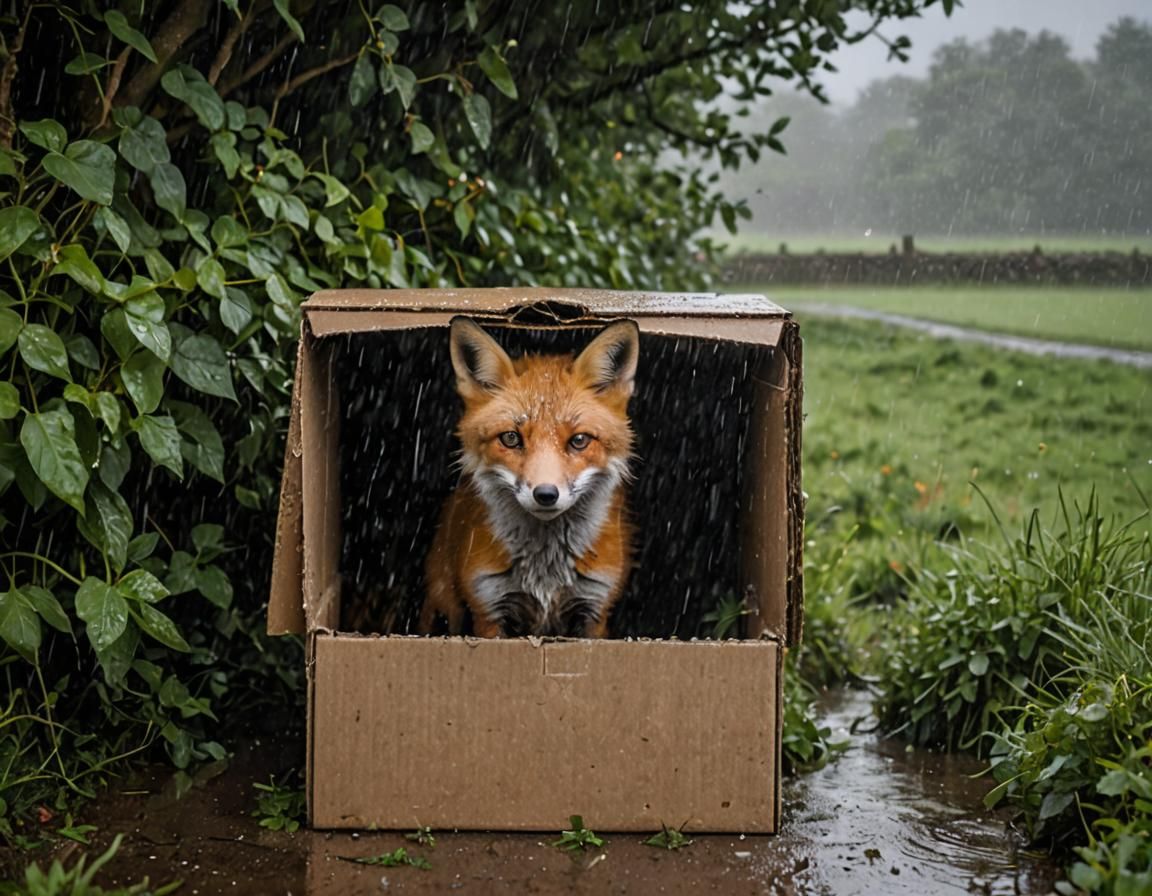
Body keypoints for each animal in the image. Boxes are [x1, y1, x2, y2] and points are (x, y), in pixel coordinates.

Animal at [420, 316, 639, 639]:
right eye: (511, 438)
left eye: (579, 441)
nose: (546, 494)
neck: (545, 572)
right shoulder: (488, 607)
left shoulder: (594, 609)